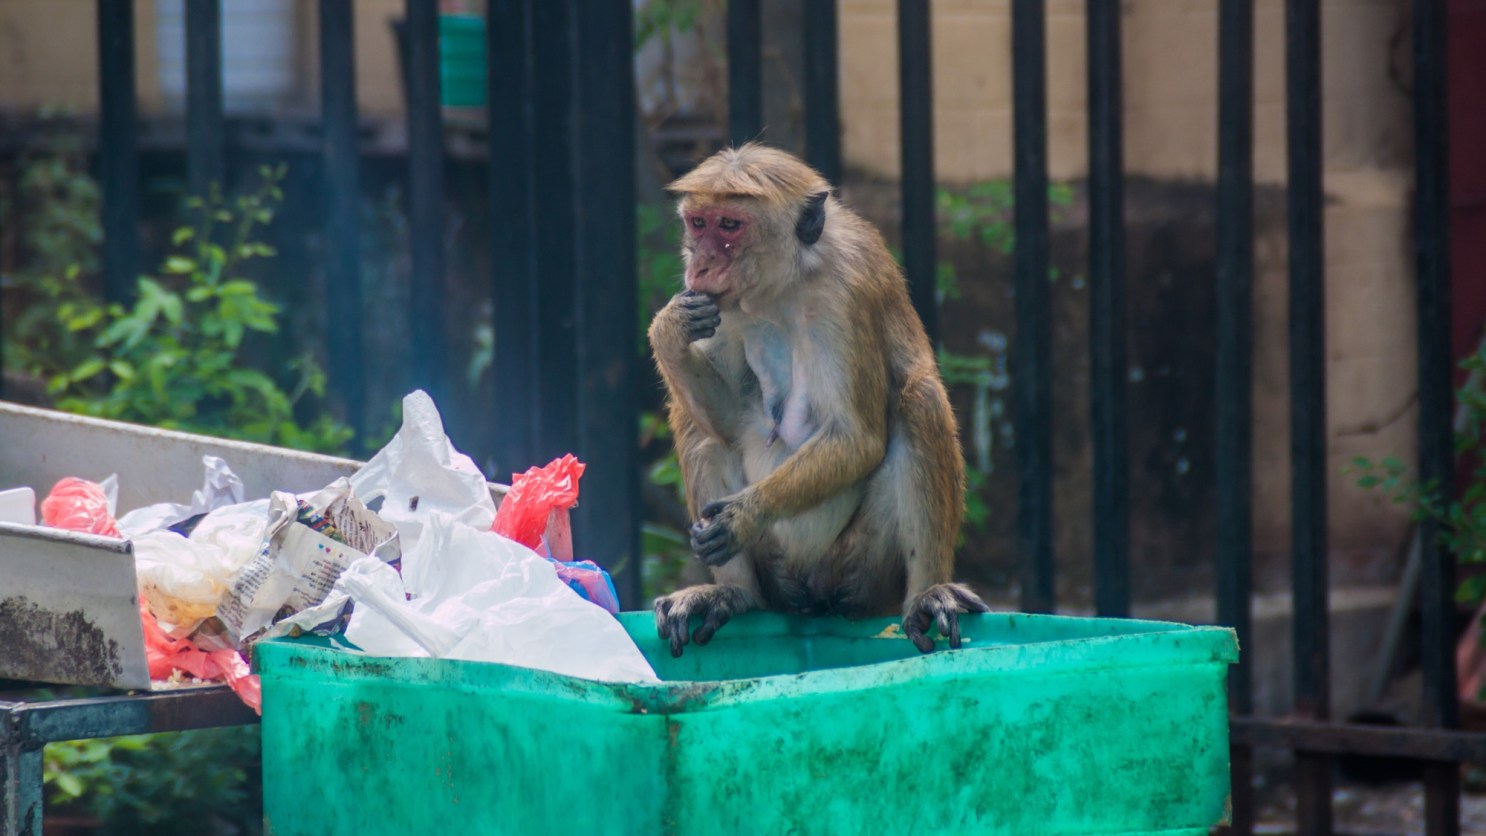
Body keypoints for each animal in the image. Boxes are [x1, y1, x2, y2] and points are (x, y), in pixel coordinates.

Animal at [648, 143, 989, 658]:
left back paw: (928, 593)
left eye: (729, 225)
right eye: (698, 223)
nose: (700, 265)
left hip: (864, 565)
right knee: (698, 429)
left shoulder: (846, 292)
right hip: (775, 568)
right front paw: (668, 328)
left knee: (919, 400)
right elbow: (725, 425)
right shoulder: (718, 305)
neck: (787, 282)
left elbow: (858, 437)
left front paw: (745, 515)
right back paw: (734, 594)